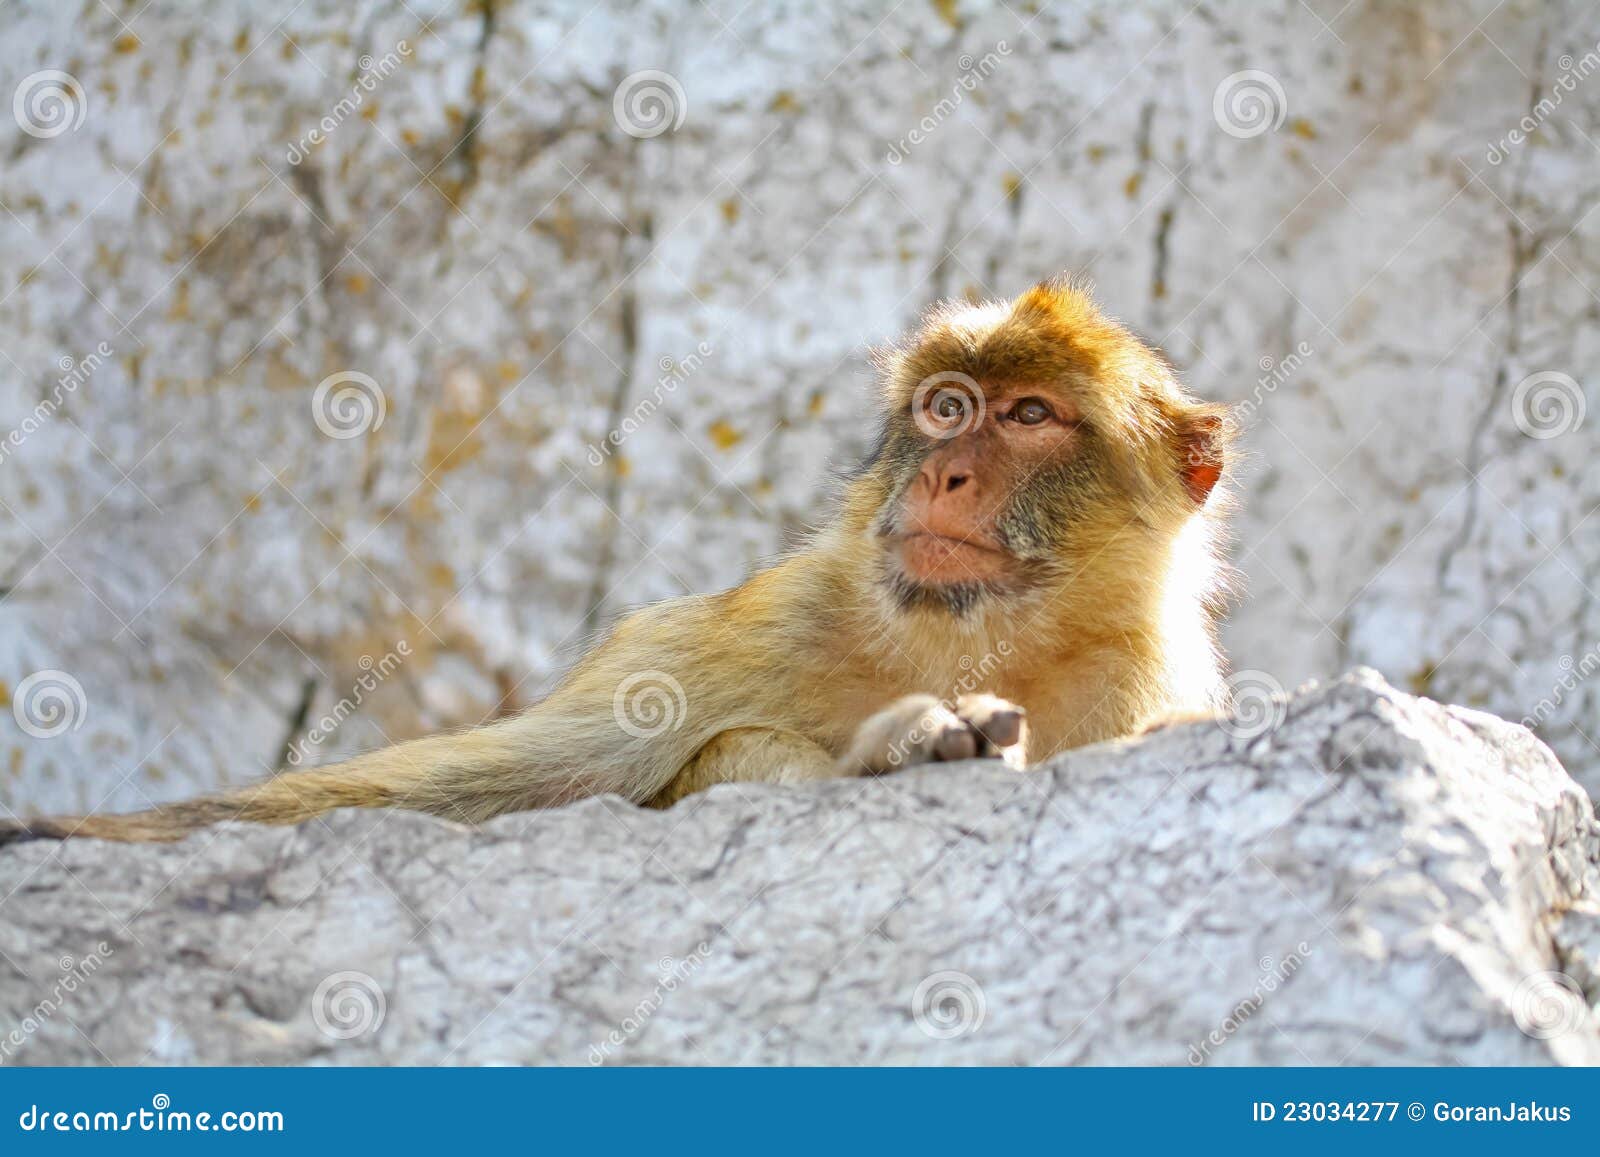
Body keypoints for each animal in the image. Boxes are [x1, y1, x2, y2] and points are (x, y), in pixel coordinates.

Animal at [0, 276, 1234, 845]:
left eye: (1027, 416)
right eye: (946, 407)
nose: (948, 478)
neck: (970, 632)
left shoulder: (1146, 679)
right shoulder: (731, 630)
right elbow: (484, 788)